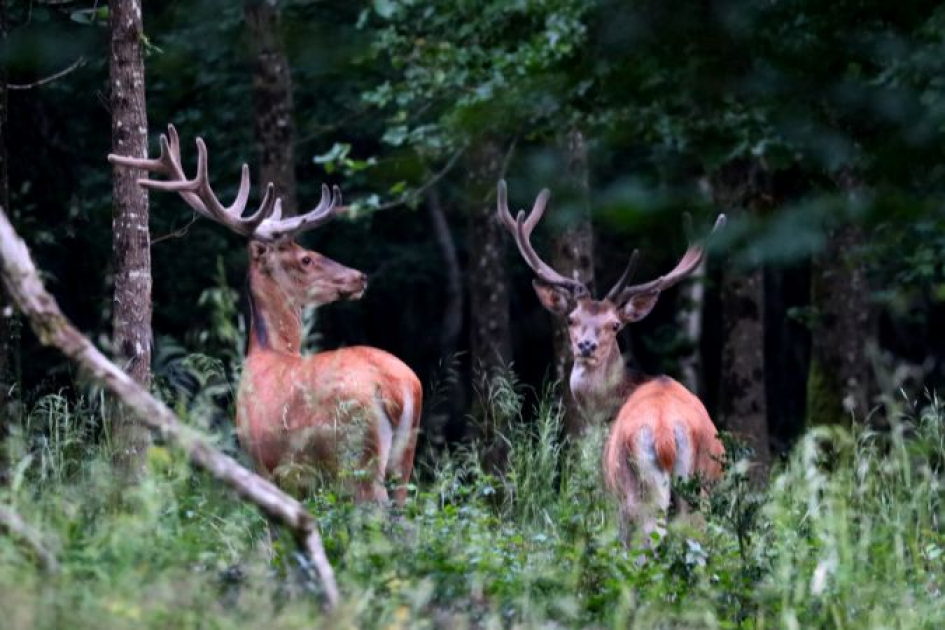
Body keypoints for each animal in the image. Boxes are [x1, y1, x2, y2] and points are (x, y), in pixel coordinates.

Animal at [108, 125, 422, 505]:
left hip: (356, 457)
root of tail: (399, 387)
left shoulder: (262, 461)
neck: (265, 352)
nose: (359, 277)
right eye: (306, 258)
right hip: (403, 460)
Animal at [497, 180, 726, 539]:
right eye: (572, 318)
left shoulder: (611, 493)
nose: (587, 345)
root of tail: (665, 434)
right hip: (699, 491)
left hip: (639, 490)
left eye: (615, 325)